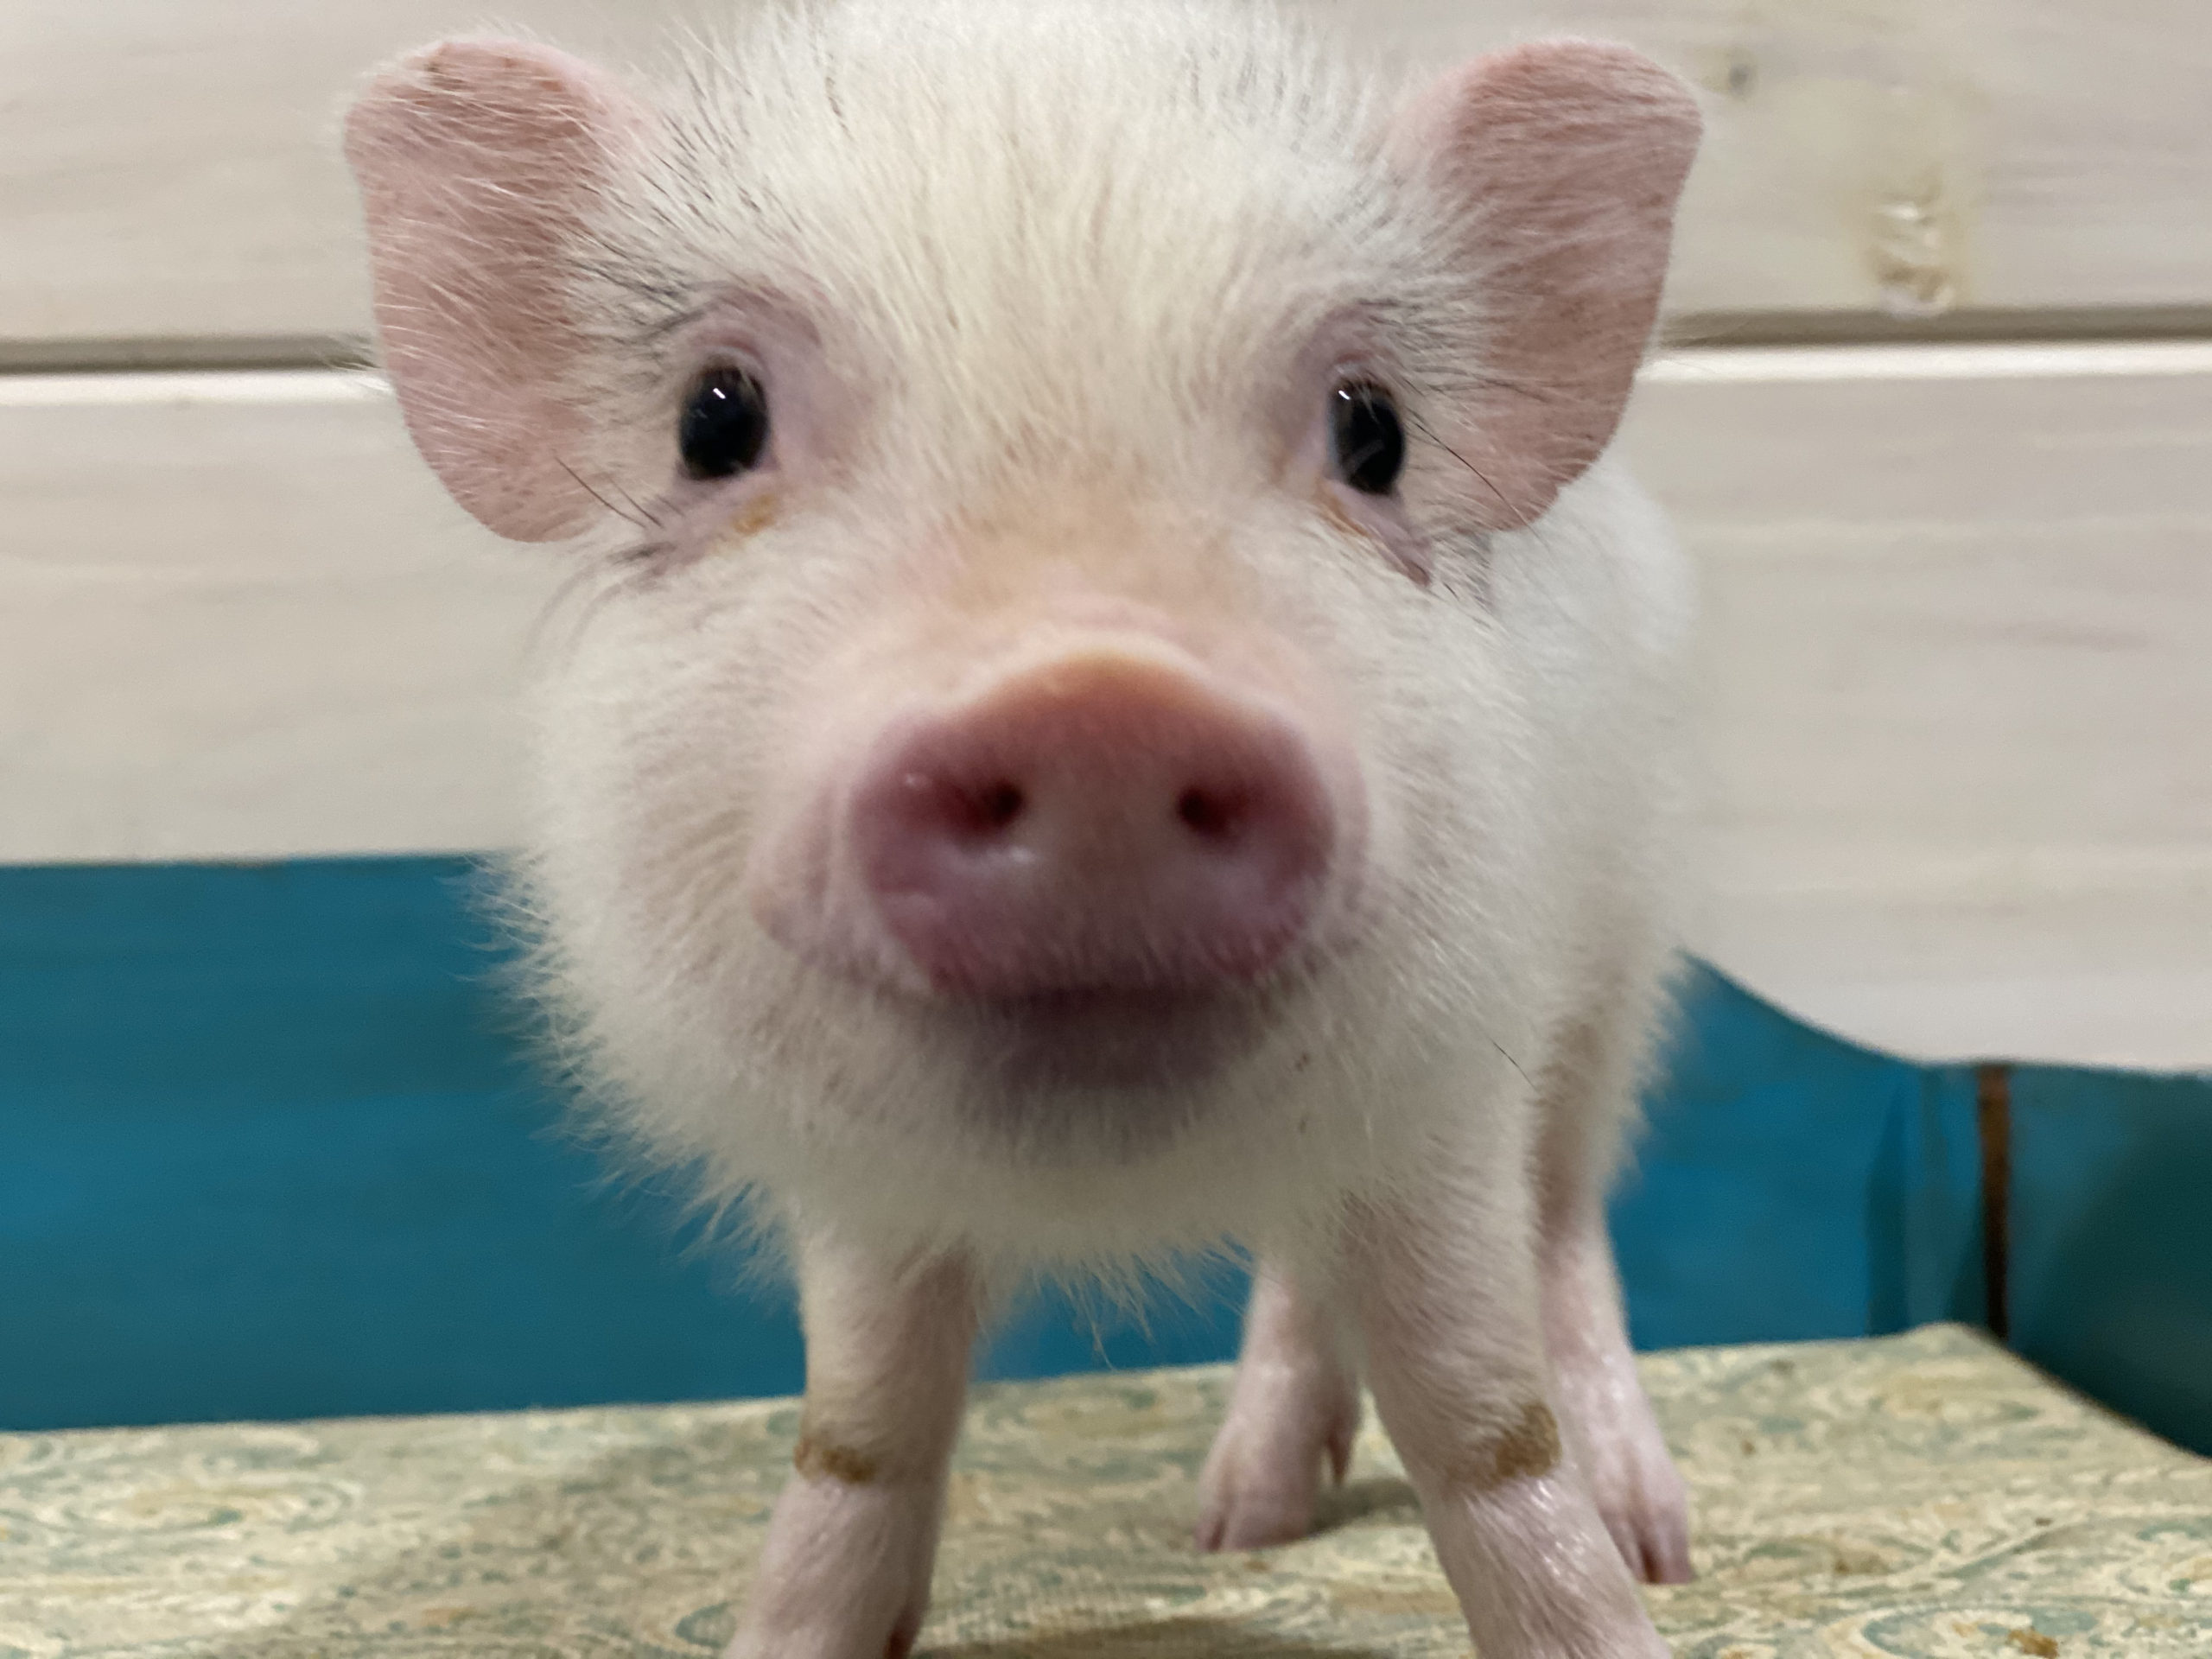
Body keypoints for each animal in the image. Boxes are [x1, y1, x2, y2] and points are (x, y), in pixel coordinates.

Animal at [344, 2, 1702, 1654]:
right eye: (715, 419)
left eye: (1371, 432)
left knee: (1563, 1226)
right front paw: (786, 1632)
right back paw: (1241, 1525)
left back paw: (1641, 1537)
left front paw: (1617, 1611)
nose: (1096, 704)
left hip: (1624, 959)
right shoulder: (856, 1187)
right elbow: (861, 1430)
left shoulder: (1457, 1076)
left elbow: (1486, 1430)